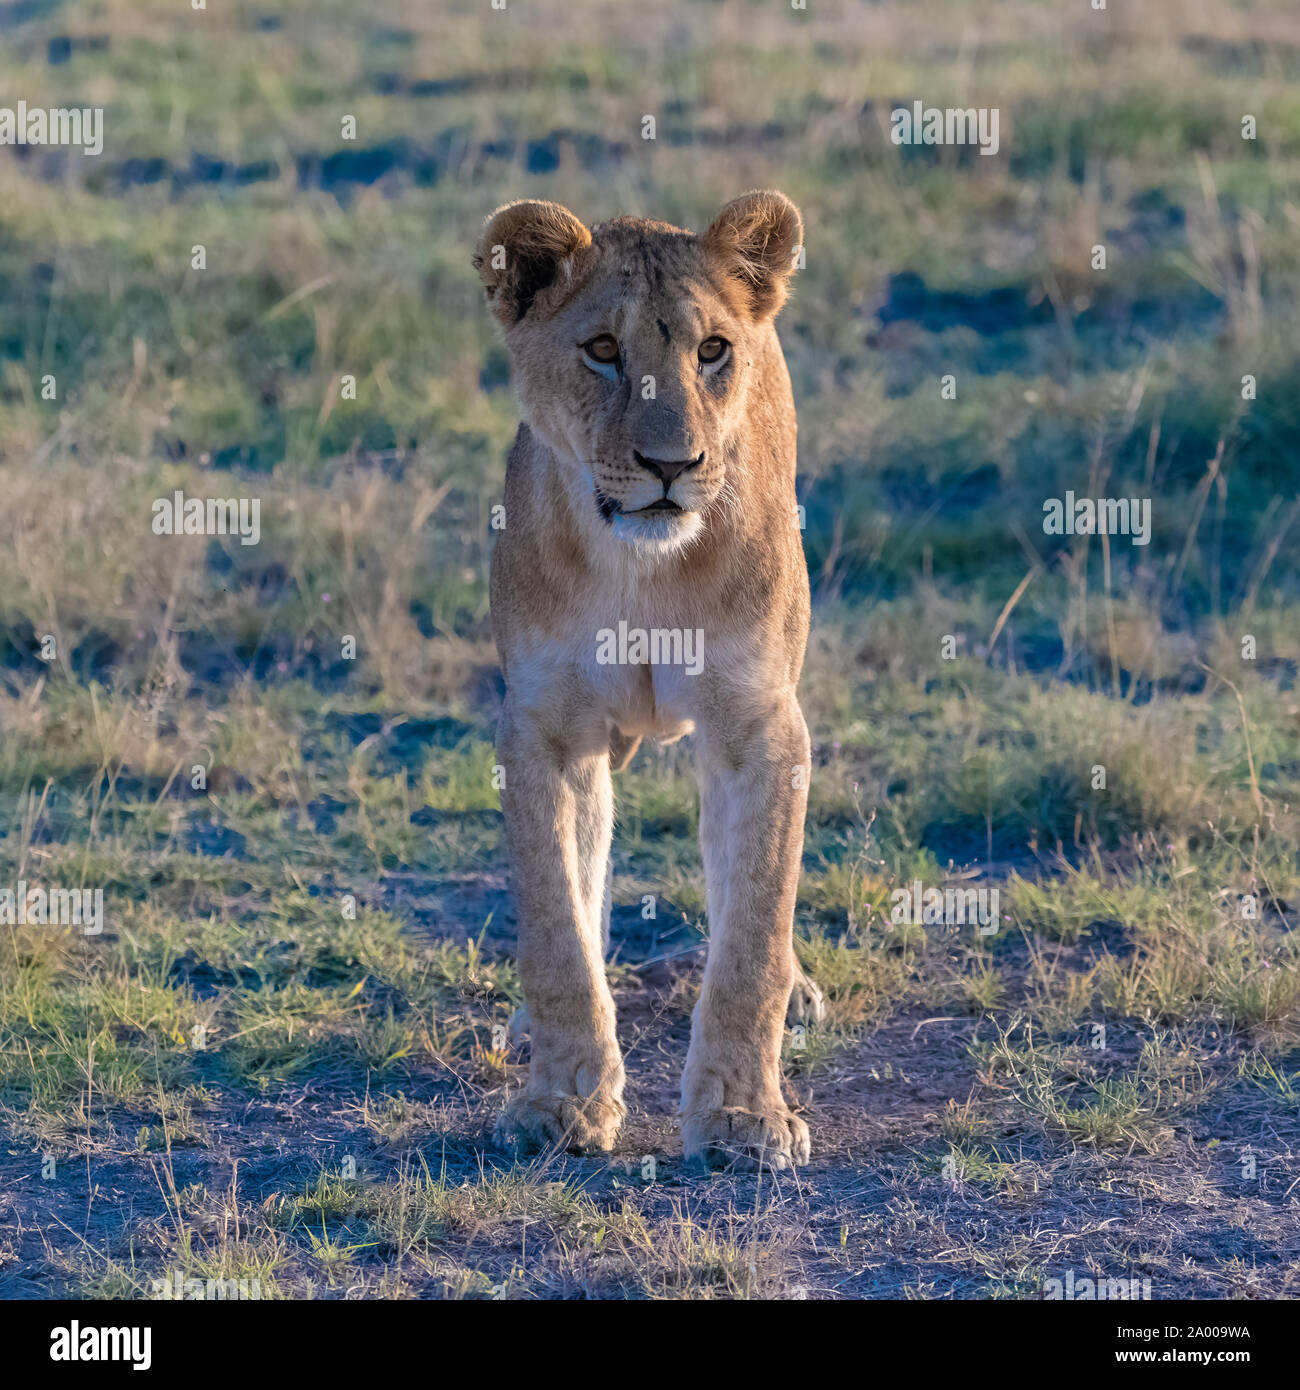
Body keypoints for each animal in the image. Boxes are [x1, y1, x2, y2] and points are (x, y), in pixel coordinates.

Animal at [474, 190, 823, 1170]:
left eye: (712, 351)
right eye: (602, 349)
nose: (673, 466)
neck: (642, 568)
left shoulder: (761, 727)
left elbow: (753, 934)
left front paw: (744, 1116)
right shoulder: (543, 729)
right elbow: (556, 928)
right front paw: (561, 1102)